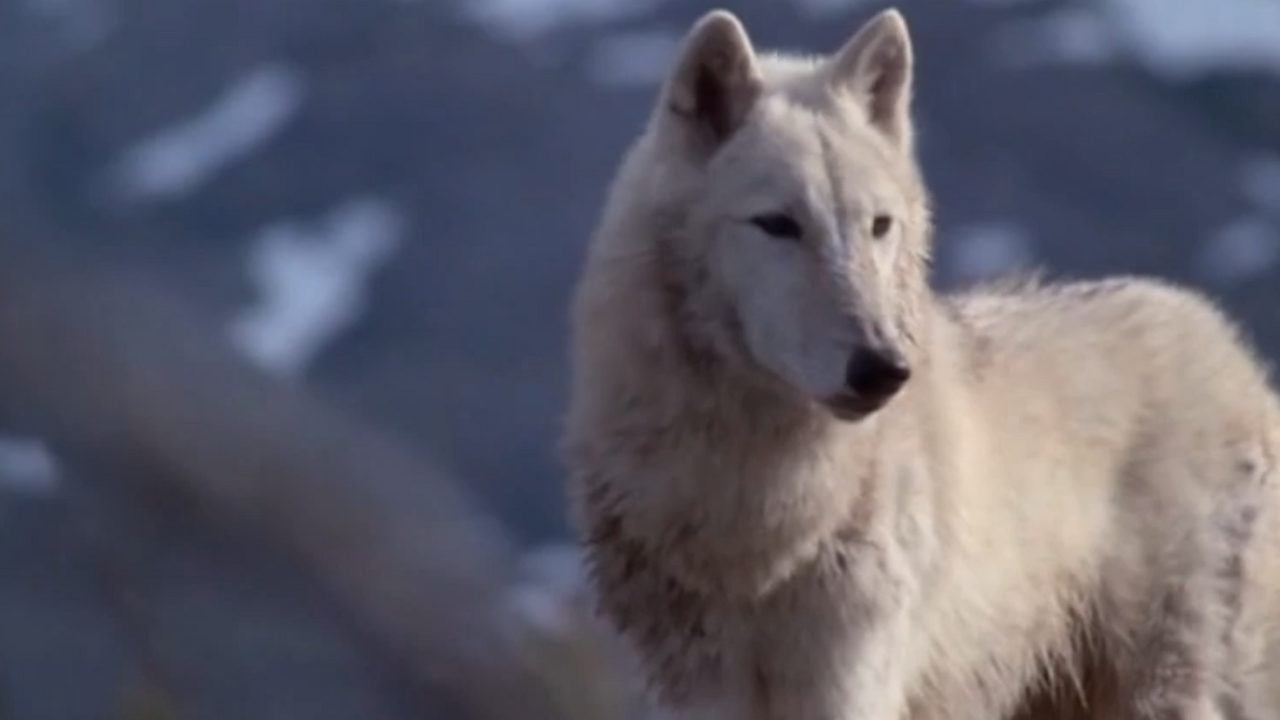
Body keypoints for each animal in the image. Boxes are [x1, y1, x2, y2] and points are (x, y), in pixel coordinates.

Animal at [561, 7, 1280, 720]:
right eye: (778, 224)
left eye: (879, 225)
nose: (883, 368)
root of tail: (1238, 359)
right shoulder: (704, 693)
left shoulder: (851, 683)